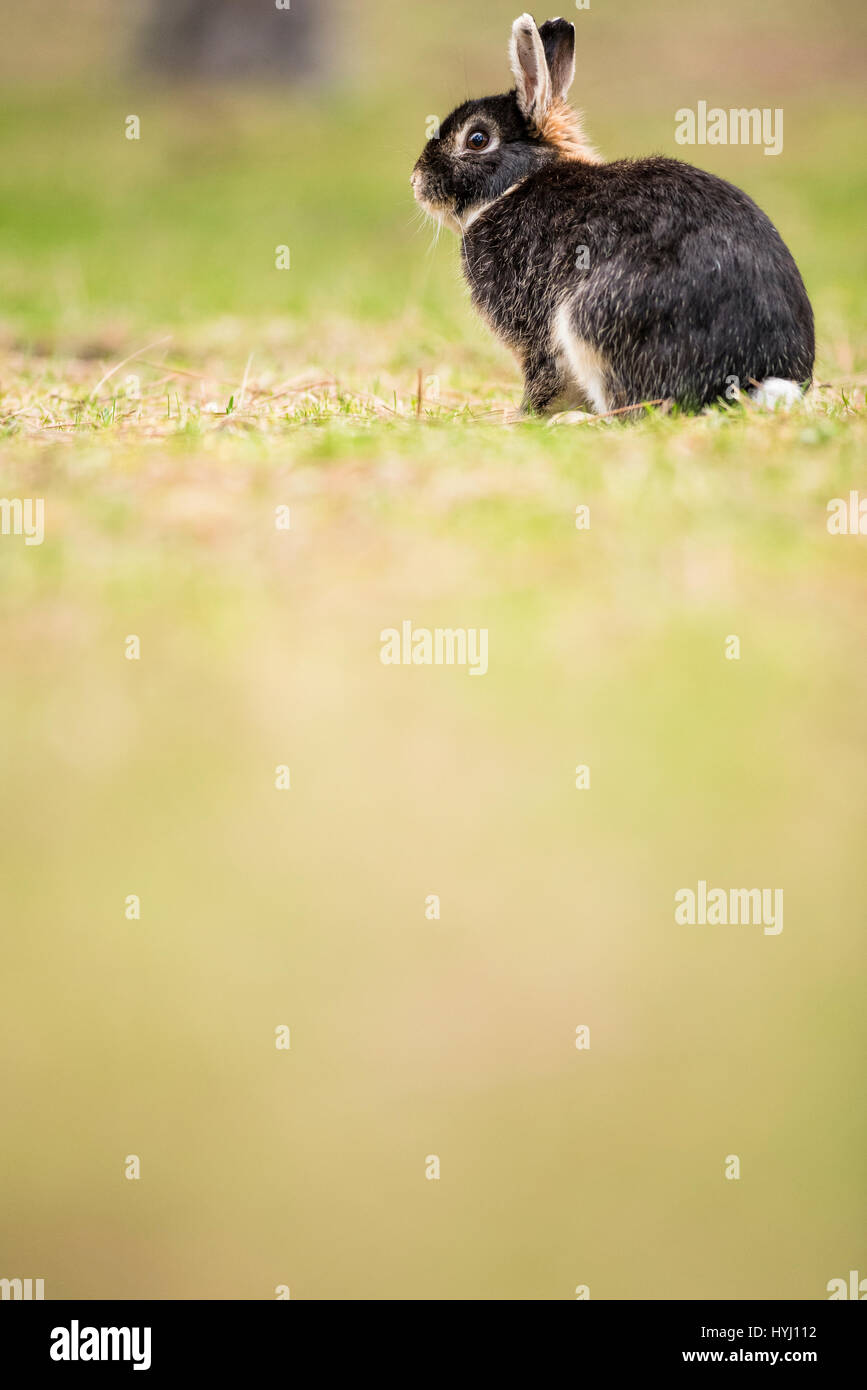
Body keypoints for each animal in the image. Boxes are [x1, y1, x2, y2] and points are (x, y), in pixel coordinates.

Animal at [411, 13, 815, 416]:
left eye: (477, 139)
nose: (416, 181)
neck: (520, 182)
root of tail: (751, 380)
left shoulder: (535, 330)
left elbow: (544, 377)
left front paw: (523, 417)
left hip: (591, 323)